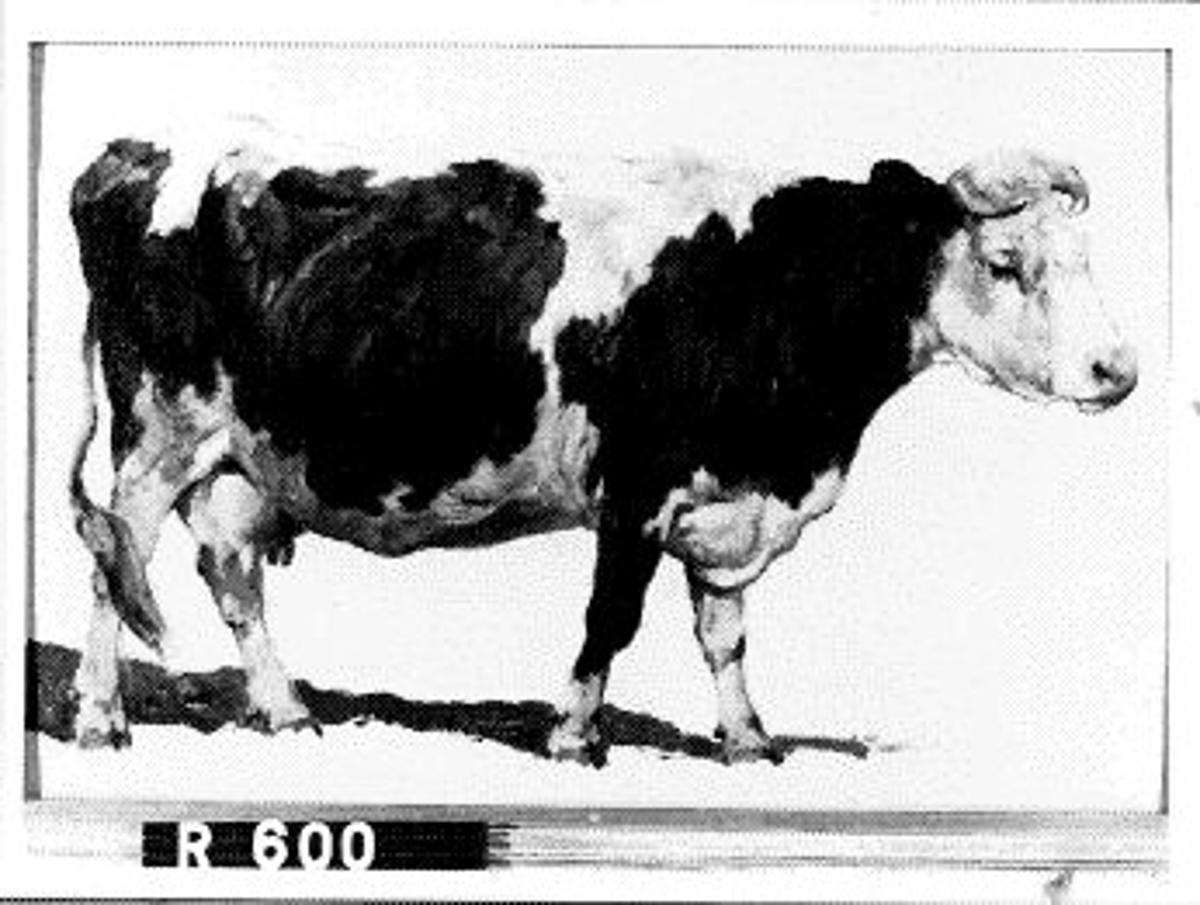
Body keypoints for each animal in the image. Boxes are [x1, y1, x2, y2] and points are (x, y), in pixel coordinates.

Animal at [65, 133, 1137, 764]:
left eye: (1086, 259)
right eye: (1007, 262)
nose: (1117, 369)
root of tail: (135, 156)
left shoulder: (727, 500)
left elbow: (724, 633)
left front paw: (750, 740)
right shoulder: (635, 489)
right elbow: (609, 622)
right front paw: (575, 736)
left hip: (239, 464)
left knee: (230, 576)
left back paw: (287, 711)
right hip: (156, 441)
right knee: (115, 564)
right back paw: (100, 717)